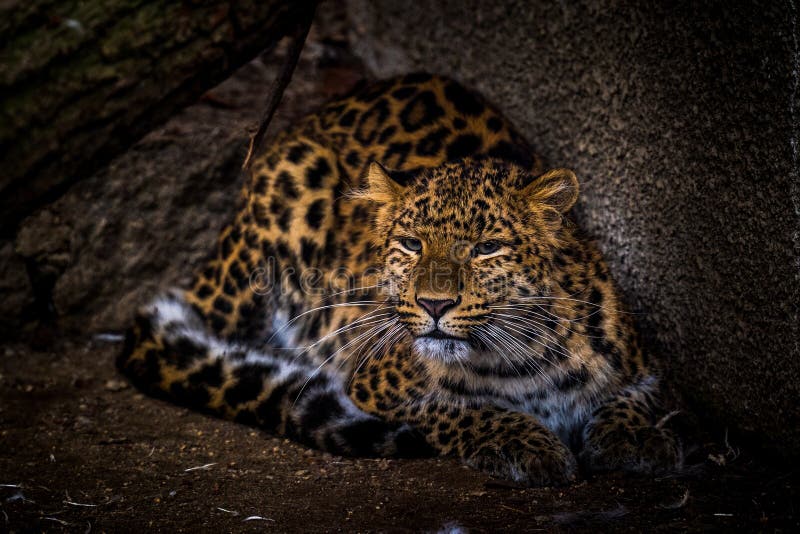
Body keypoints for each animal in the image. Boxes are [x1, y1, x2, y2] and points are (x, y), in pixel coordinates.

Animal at [117, 73, 682, 486]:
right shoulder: (371, 377)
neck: (525, 359)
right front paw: (523, 442)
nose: (433, 304)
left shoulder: (645, 369)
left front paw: (637, 440)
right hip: (288, 195)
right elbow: (458, 407)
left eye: (486, 248)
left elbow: (633, 402)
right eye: (411, 244)